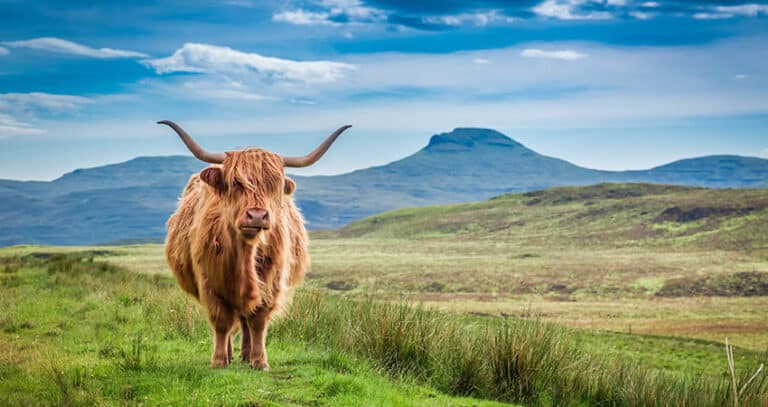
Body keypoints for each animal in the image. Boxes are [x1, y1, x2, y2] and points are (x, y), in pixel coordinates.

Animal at [159, 120, 351, 369]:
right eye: (235, 183)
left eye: (275, 186)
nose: (257, 216)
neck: (245, 254)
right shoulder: (210, 281)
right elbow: (221, 321)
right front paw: (219, 360)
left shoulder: (271, 282)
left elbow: (258, 321)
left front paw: (259, 361)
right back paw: (231, 354)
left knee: (245, 319)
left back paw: (246, 354)